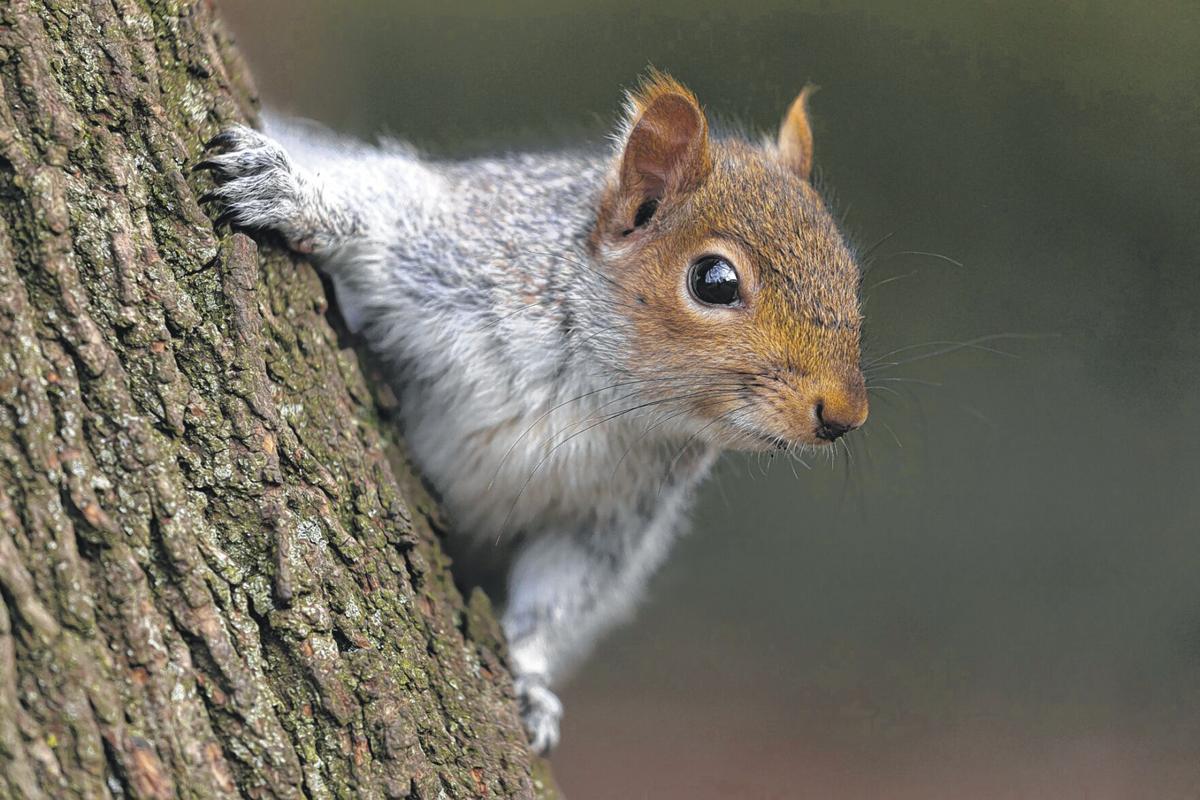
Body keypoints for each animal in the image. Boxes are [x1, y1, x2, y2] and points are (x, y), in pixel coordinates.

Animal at [198, 72, 868, 754]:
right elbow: (379, 209)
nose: (845, 415)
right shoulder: (463, 245)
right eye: (714, 281)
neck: (598, 392)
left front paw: (528, 681)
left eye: (850, 277)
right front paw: (291, 191)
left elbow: (558, 597)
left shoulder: (608, 521)